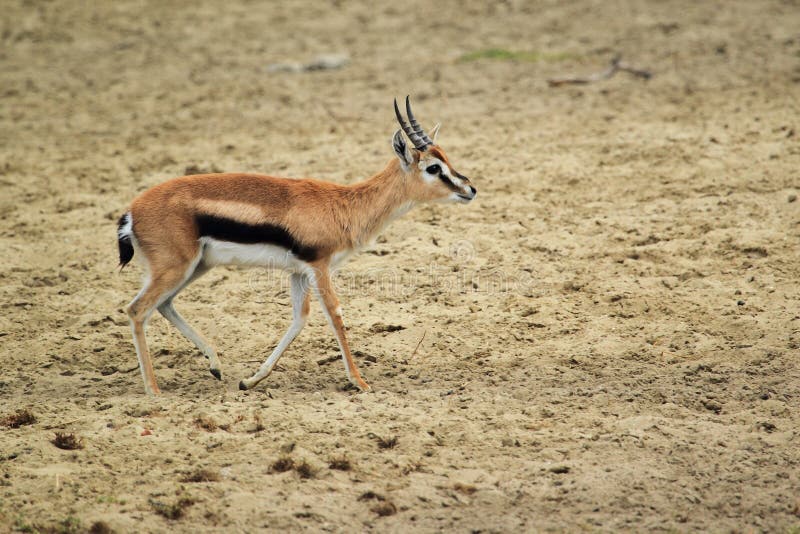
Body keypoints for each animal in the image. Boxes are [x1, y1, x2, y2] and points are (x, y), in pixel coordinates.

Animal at [117, 97, 476, 395]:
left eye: (446, 158)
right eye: (433, 167)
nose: (469, 189)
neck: (343, 206)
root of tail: (132, 211)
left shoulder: (298, 273)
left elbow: (299, 319)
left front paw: (250, 380)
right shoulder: (319, 268)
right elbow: (335, 313)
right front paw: (360, 382)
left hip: (196, 266)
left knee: (163, 305)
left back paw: (215, 365)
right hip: (176, 268)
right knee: (137, 310)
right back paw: (154, 391)